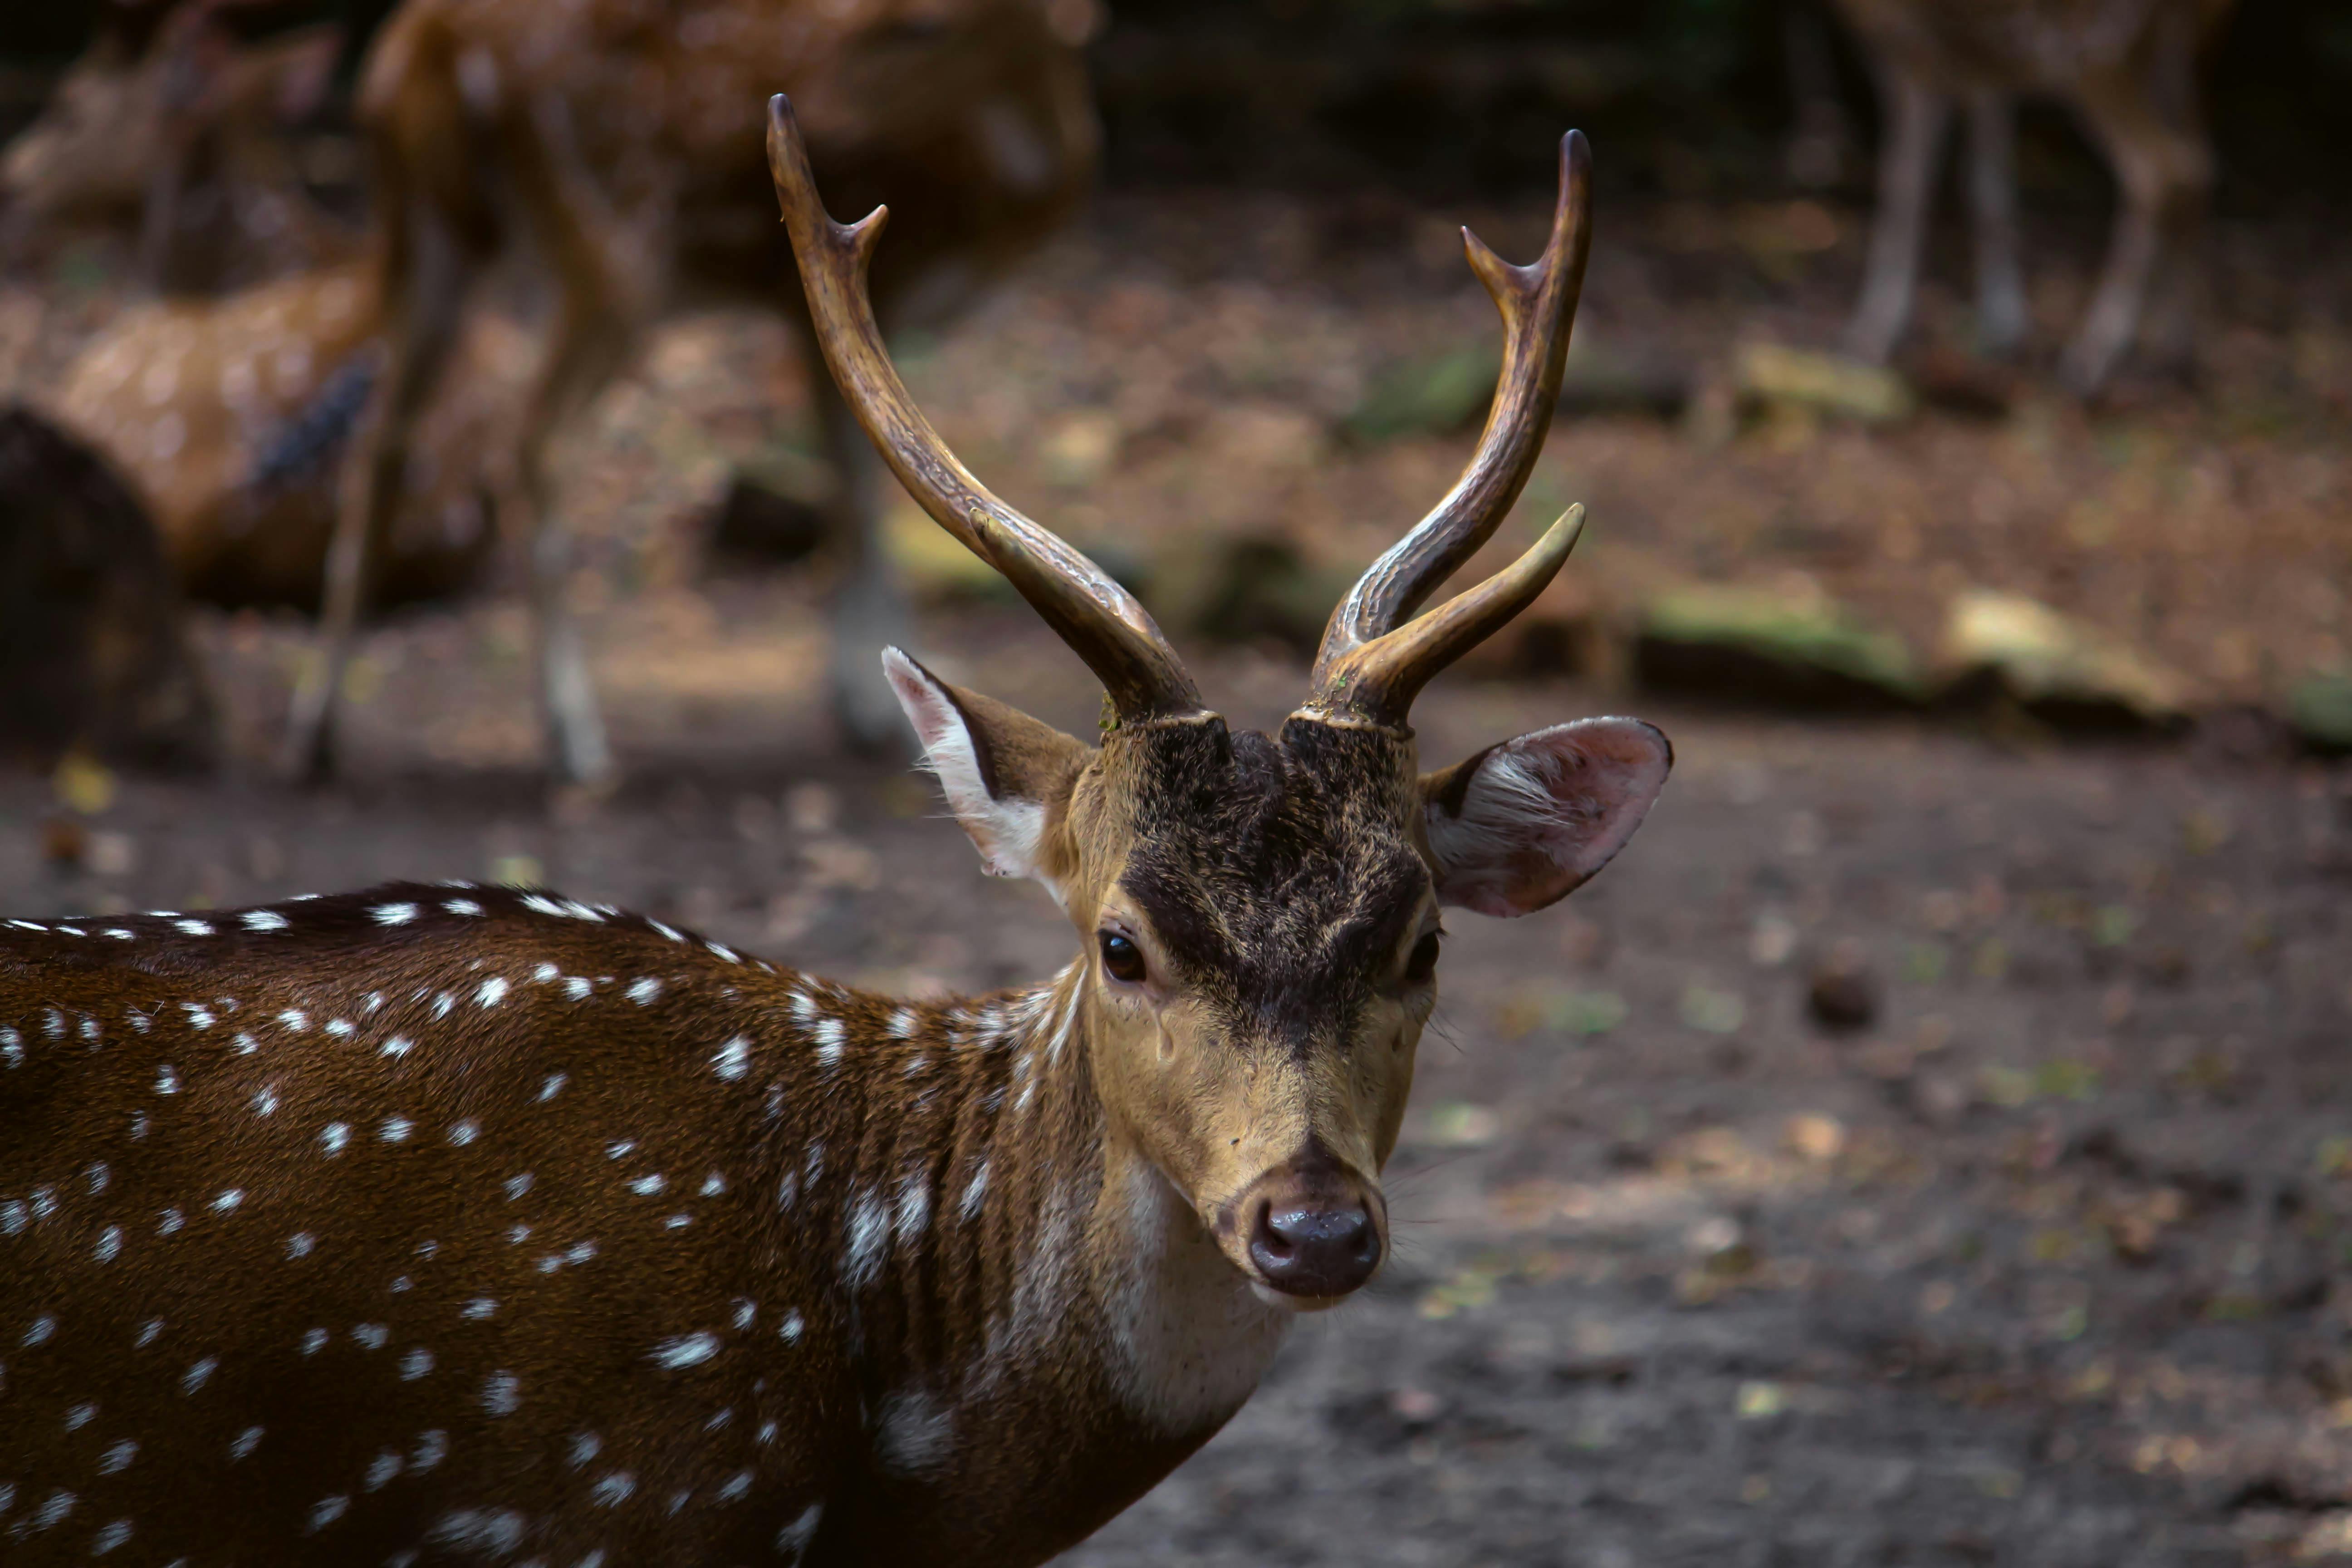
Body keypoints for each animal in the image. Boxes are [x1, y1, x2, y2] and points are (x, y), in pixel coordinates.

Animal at [279, 0, 1104, 790]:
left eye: (926, 25)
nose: (825, 121)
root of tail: (427, 49)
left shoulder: (799, 313)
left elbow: (852, 477)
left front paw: (863, 699)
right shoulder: (858, 296)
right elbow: (866, 488)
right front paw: (882, 713)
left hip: (428, 236)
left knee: (381, 442)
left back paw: (317, 734)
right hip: (617, 249)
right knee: (531, 445)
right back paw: (576, 743)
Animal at [1831, 0, 2237, 393]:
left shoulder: (1910, 52)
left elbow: (1904, 187)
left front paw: (1873, 330)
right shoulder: (1976, 70)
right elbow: (1987, 184)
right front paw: (2003, 323)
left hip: (2095, 52)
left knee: (2163, 171)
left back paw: (2093, 357)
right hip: (2170, 54)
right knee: (2200, 164)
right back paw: (2175, 347)